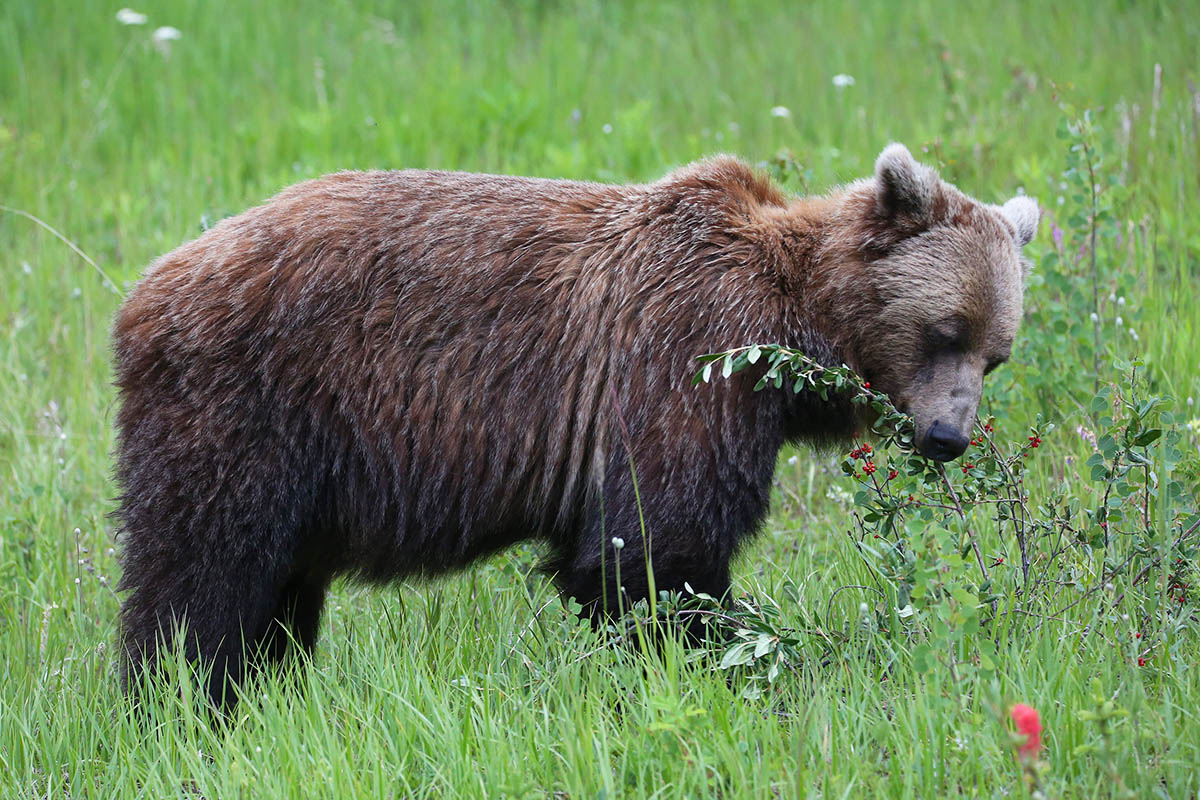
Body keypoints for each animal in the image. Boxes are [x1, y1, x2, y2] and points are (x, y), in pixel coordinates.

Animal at [112, 143, 1038, 708]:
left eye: (996, 355)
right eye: (944, 329)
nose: (947, 438)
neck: (788, 327)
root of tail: (148, 287)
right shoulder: (681, 363)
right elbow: (656, 556)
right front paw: (735, 660)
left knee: (278, 594)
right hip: (251, 408)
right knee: (202, 580)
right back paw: (176, 701)